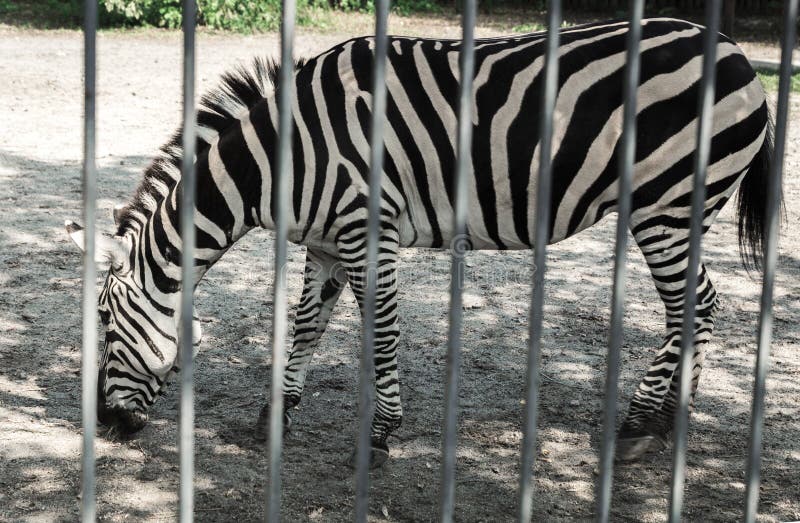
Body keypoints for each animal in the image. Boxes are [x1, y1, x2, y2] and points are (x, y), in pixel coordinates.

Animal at [66, 17, 773, 466]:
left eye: (106, 323)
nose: (104, 425)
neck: (278, 159)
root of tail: (734, 49)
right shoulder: (322, 243)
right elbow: (306, 326)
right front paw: (276, 417)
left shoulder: (364, 230)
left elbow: (379, 331)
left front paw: (381, 434)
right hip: (682, 211)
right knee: (699, 305)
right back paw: (671, 420)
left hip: (667, 205)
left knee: (693, 305)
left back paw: (639, 425)